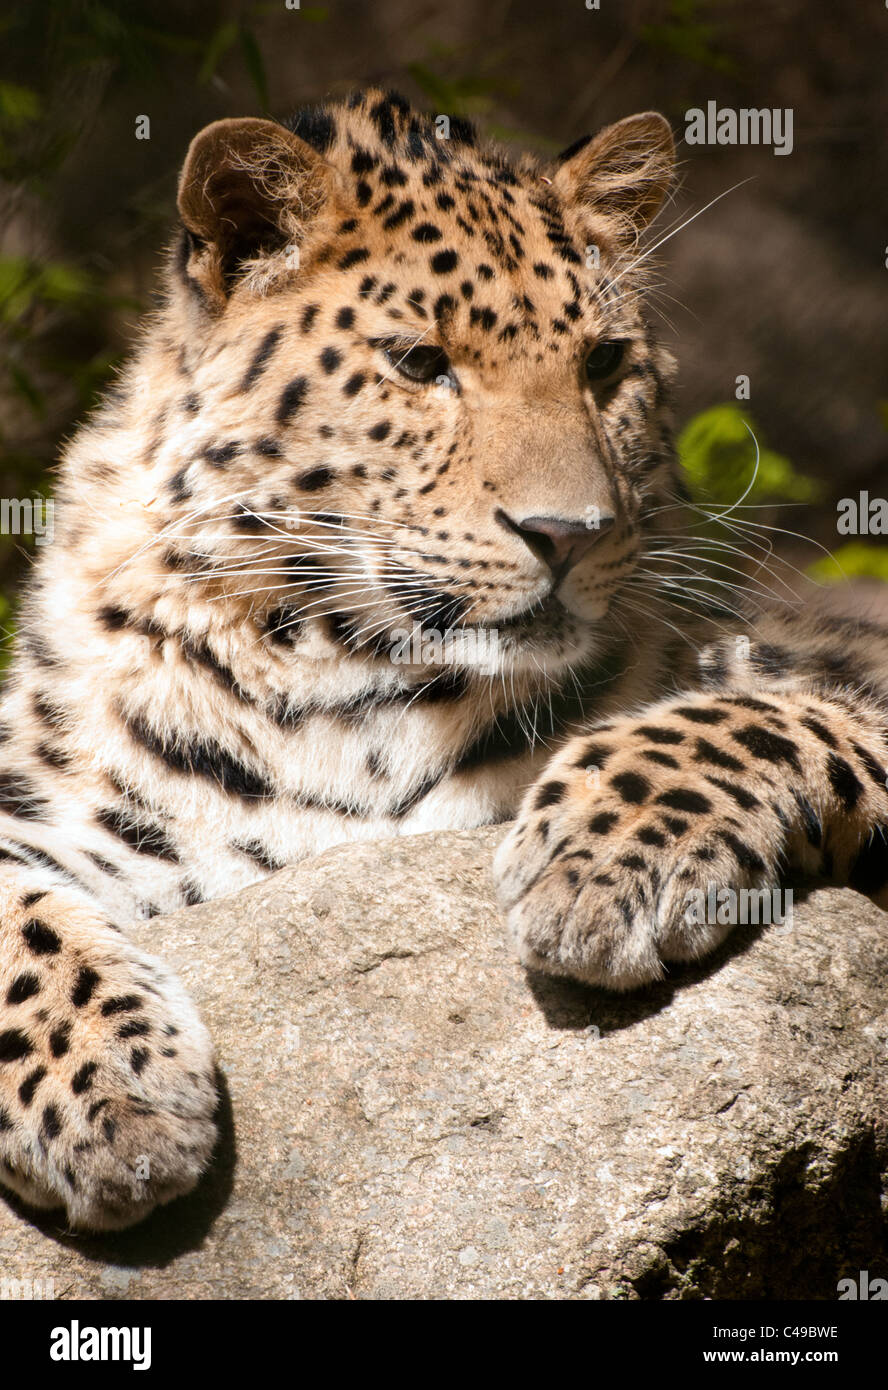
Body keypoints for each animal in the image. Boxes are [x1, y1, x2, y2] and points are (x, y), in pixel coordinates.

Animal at [1, 87, 887, 1232]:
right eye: (421, 363)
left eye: (604, 365)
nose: (568, 533)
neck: (346, 678)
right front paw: (113, 1097)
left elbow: (754, 710)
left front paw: (600, 865)